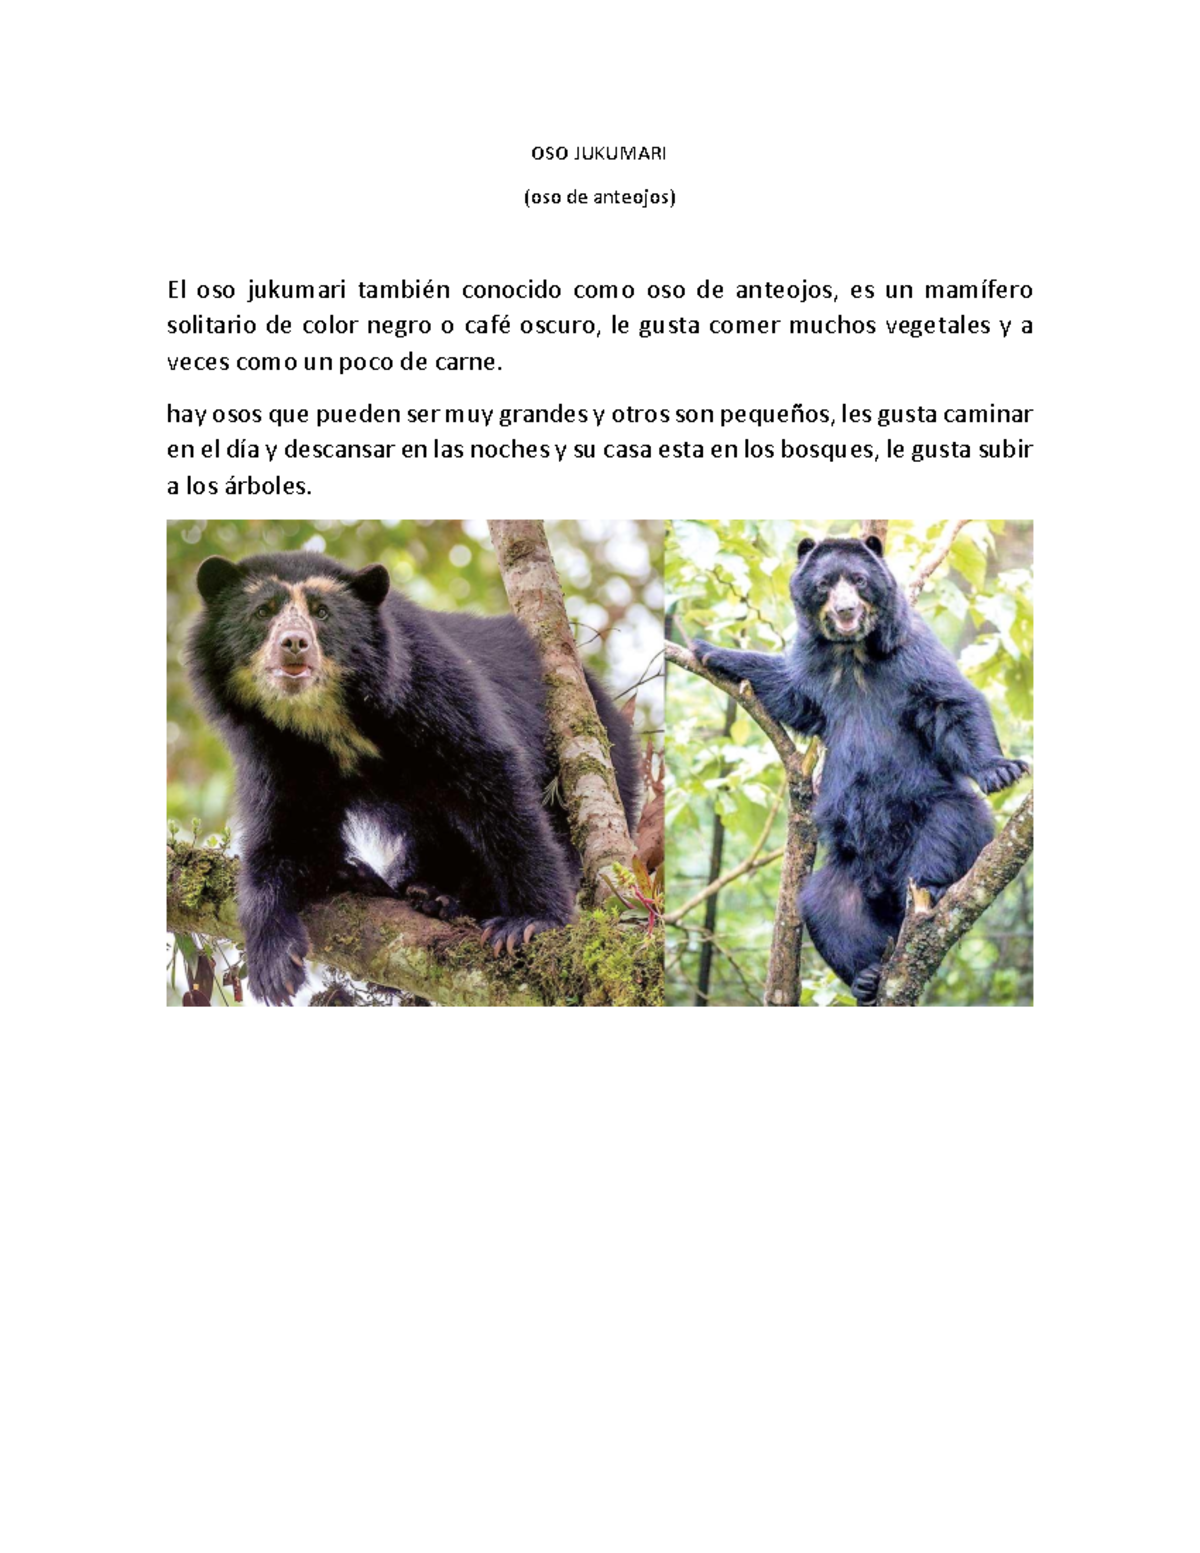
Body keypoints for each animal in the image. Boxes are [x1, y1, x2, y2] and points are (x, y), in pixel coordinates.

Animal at [188, 550, 641, 1005]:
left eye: (322, 613)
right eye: (263, 611)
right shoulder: (276, 750)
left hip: (596, 749)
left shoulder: (426, 686)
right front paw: (274, 965)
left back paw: (444, 899)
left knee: (562, 822)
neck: (325, 716)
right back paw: (382, 882)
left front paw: (528, 923)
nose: (294, 644)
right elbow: (285, 832)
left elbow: (495, 785)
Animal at [690, 534, 1028, 1005]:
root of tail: (883, 882)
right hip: (846, 867)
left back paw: (934, 887)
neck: (853, 654)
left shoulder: (912, 652)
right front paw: (709, 650)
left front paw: (1001, 769)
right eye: (825, 584)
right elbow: (788, 690)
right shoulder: (813, 668)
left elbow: (952, 704)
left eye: (859, 580)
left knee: (951, 824)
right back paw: (866, 976)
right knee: (824, 906)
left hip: (935, 812)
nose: (846, 610)